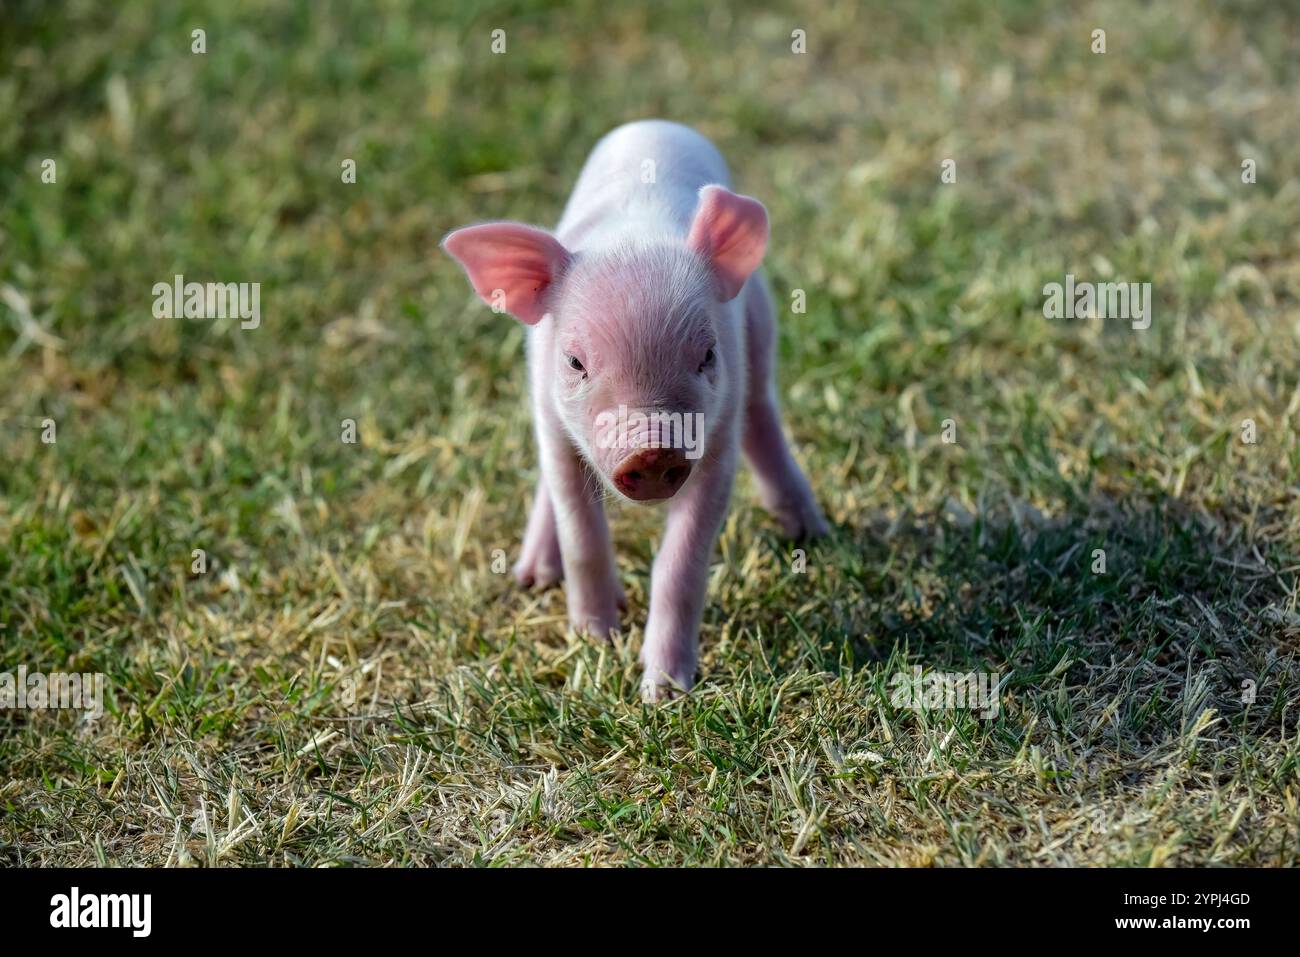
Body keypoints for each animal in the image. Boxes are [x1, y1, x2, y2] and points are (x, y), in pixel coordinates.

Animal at [442, 119, 828, 700]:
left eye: (707, 355)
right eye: (576, 361)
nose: (651, 450)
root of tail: (653, 124)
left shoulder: (717, 439)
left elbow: (681, 562)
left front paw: (663, 693)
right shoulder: (552, 416)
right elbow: (581, 531)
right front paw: (595, 641)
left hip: (760, 328)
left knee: (763, 413)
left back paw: (809, 532)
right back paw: (534, 577)